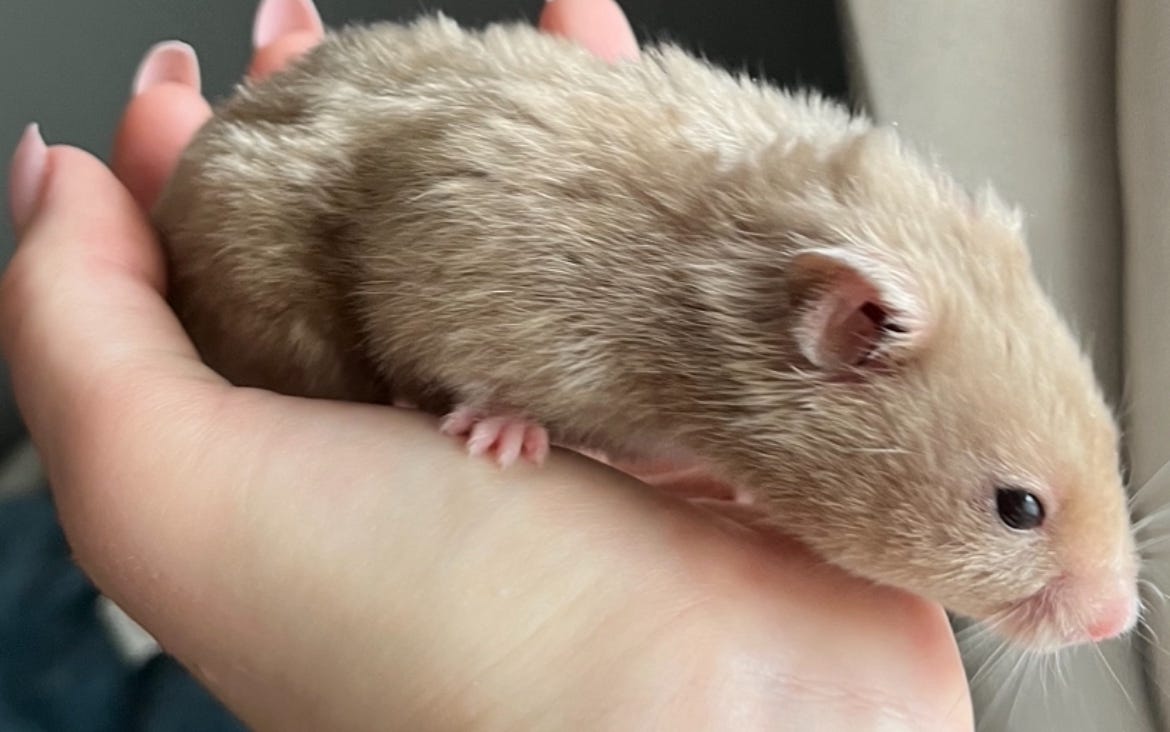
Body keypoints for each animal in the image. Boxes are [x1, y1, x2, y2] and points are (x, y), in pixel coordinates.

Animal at [152, 15, 1138, 652]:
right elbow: (456, 361)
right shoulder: (454, 260)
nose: (1119, 621)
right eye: (1019, 508)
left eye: (1112, 446)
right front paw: (502, 438)